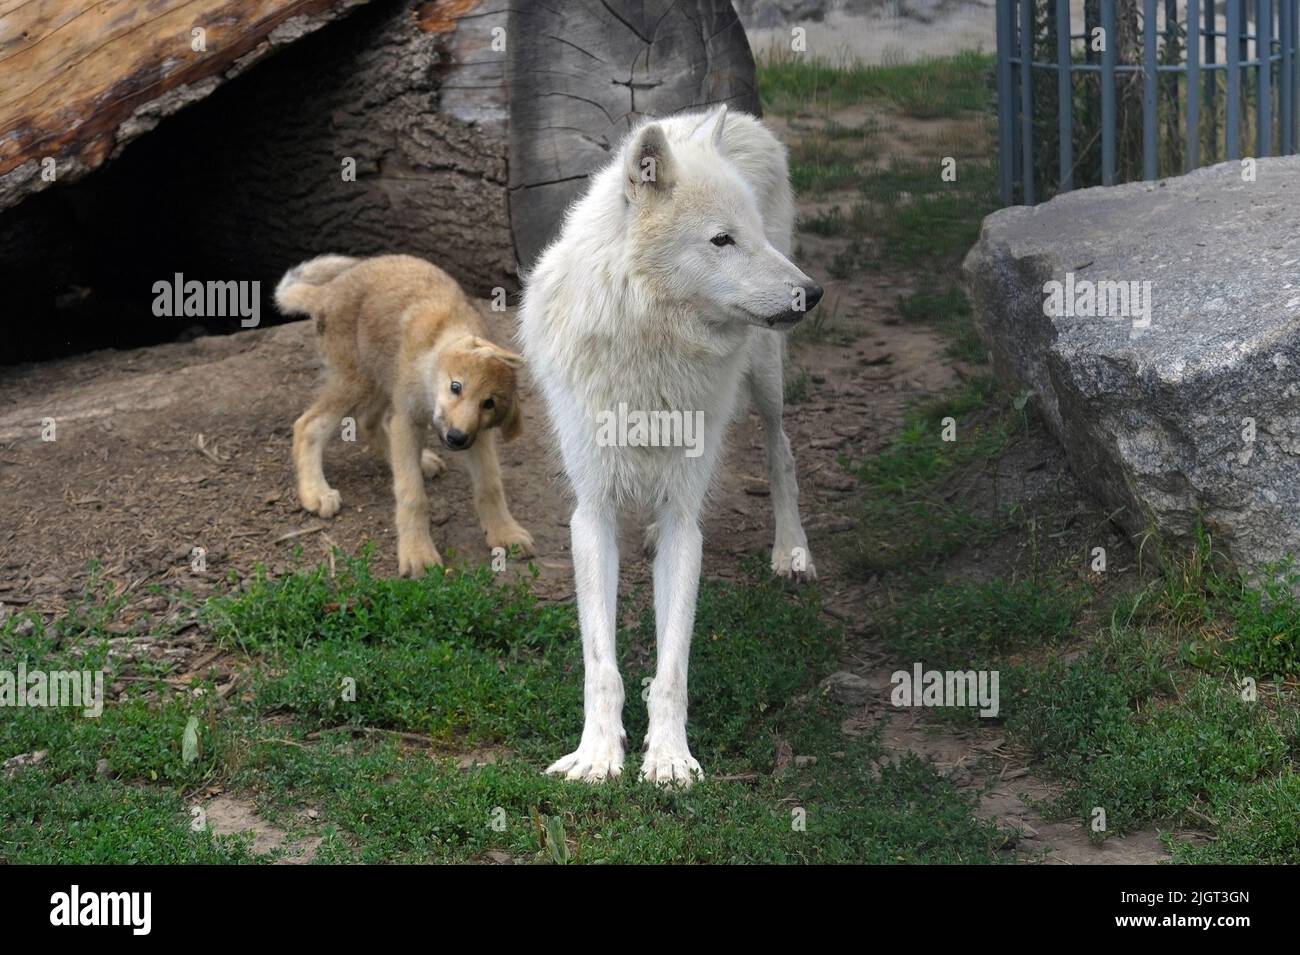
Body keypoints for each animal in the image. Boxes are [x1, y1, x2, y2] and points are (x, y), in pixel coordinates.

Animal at [517, 105, 823, 785]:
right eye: (721, 240)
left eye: (750, 234)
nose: (813, 294)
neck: (651, 349)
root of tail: (727, 114)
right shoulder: (592, 512)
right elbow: (601, 663)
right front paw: (598, 755)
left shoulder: (686, 513)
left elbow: (673, 666)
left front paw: (670, 760)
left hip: (766, 374)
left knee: (782, 451)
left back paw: (791, 552)